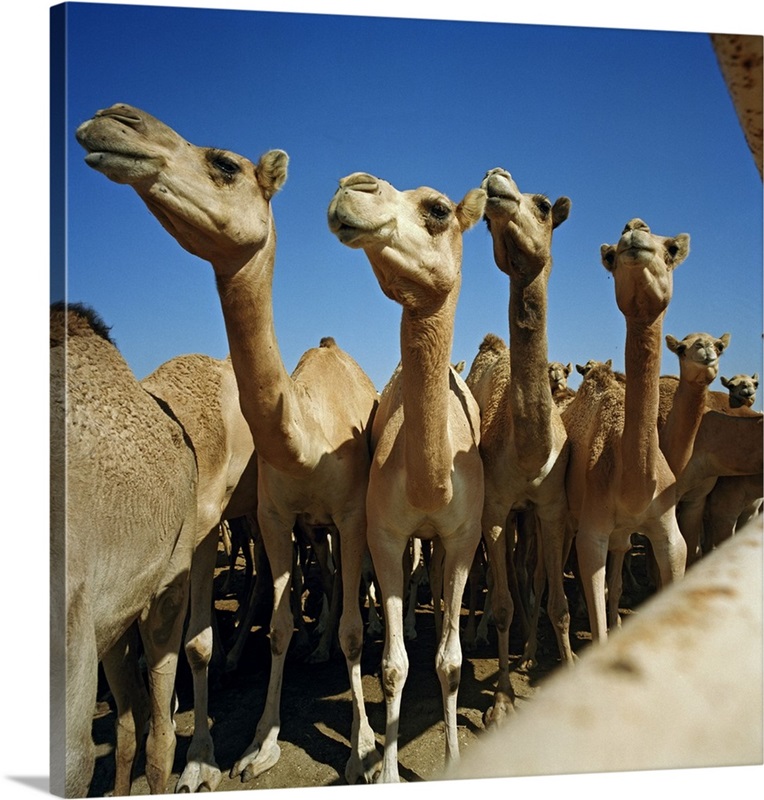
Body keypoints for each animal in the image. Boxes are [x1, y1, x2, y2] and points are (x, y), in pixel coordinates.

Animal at [76, 103, 380, 785]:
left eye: (225, 165)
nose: (112, 119)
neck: (307, 439)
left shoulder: (348, 514)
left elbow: (350, 626)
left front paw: (362, 750)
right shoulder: (268, 514)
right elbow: (276, 625)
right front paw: (249, 748)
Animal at [327, 171, 485, 782]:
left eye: (439, 209)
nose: (353, 187)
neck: (430, 481)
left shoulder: (464, 538)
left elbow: (452, 661)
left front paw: (454, 759)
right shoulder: (386, 535)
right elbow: (393, 666)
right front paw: (388, 770)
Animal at [562, 218, 690, 644]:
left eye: (670, 249)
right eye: (613, 256)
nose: (635, 228)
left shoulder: (669, 535)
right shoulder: (592, 534)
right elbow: (596, 603)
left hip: (623, 536)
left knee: (617, 575)